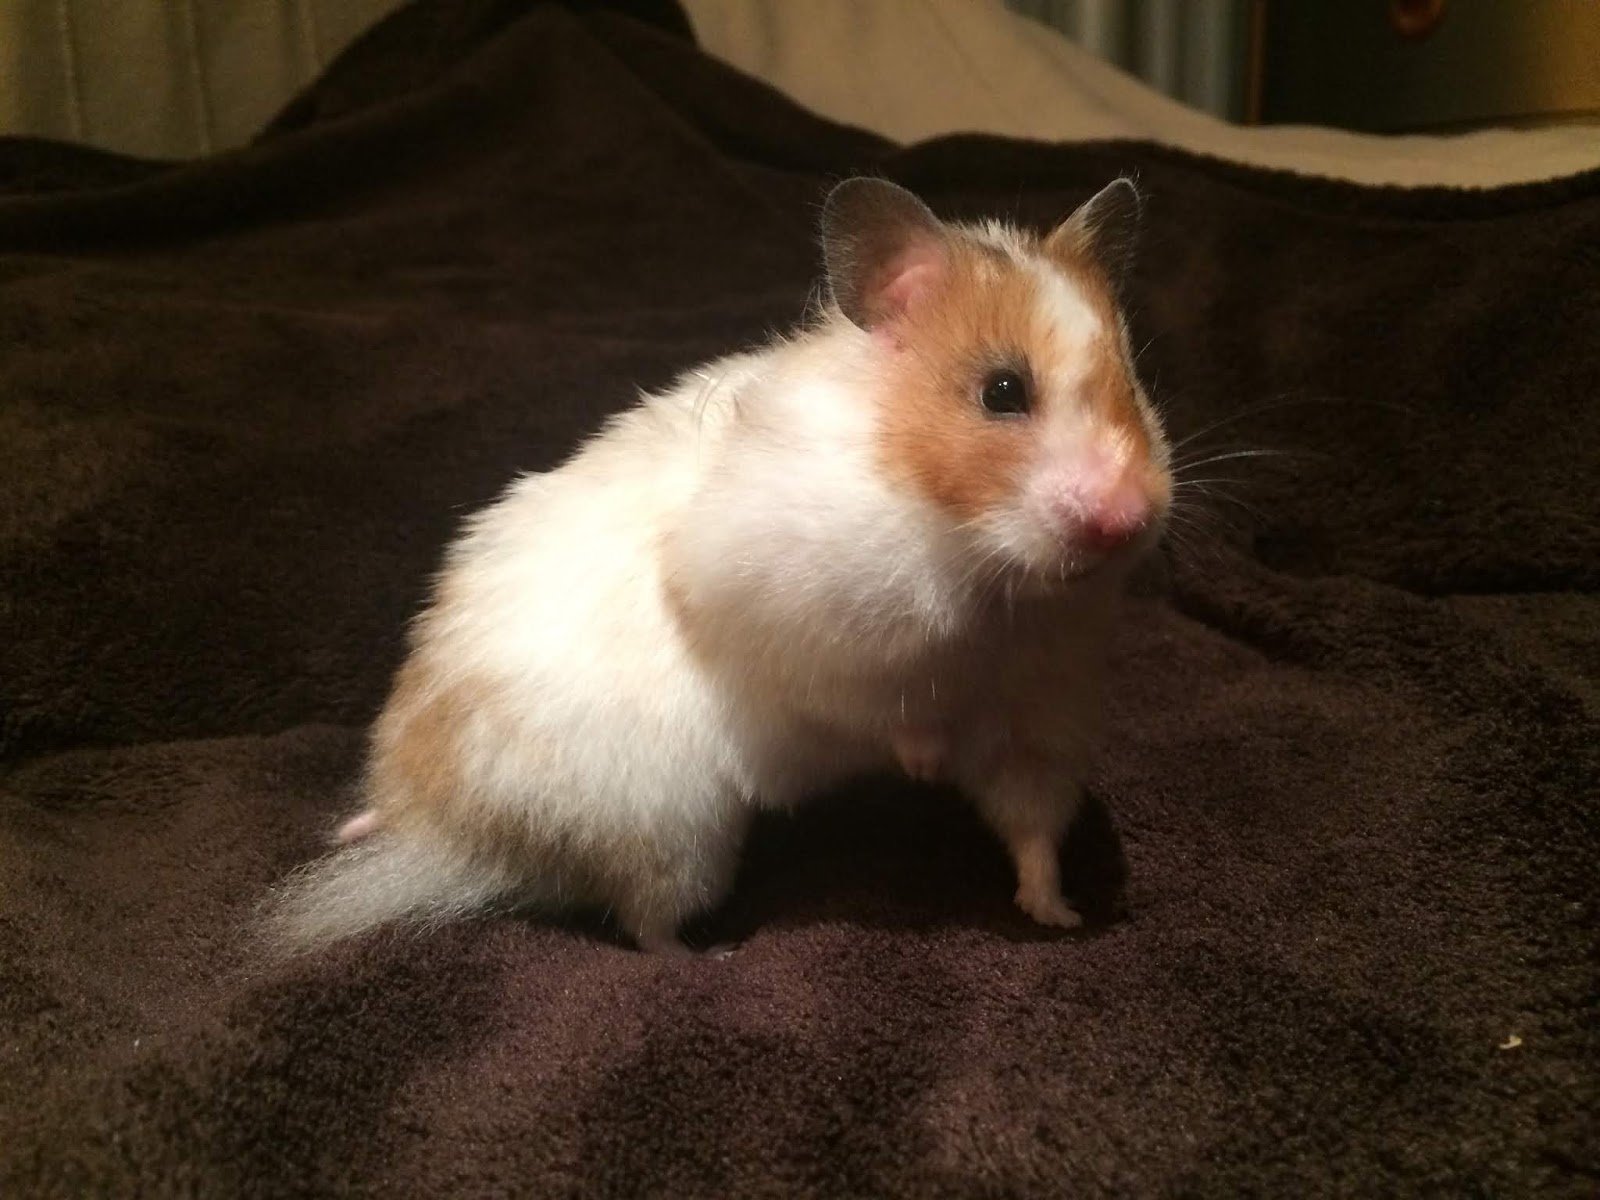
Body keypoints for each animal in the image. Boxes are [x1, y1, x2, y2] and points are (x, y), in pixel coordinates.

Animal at [265, 176, 1171, 955]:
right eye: (1003, 391)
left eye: (1134, 384)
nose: (1127, 517)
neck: (991, 573)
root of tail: (445, 820)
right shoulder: (797, 624)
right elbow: (877, 709)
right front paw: (921, 763)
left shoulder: (1035, 716)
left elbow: (1030, 831)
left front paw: (1058, 916)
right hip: (673, 832)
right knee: (644, 922)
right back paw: (714, 951)